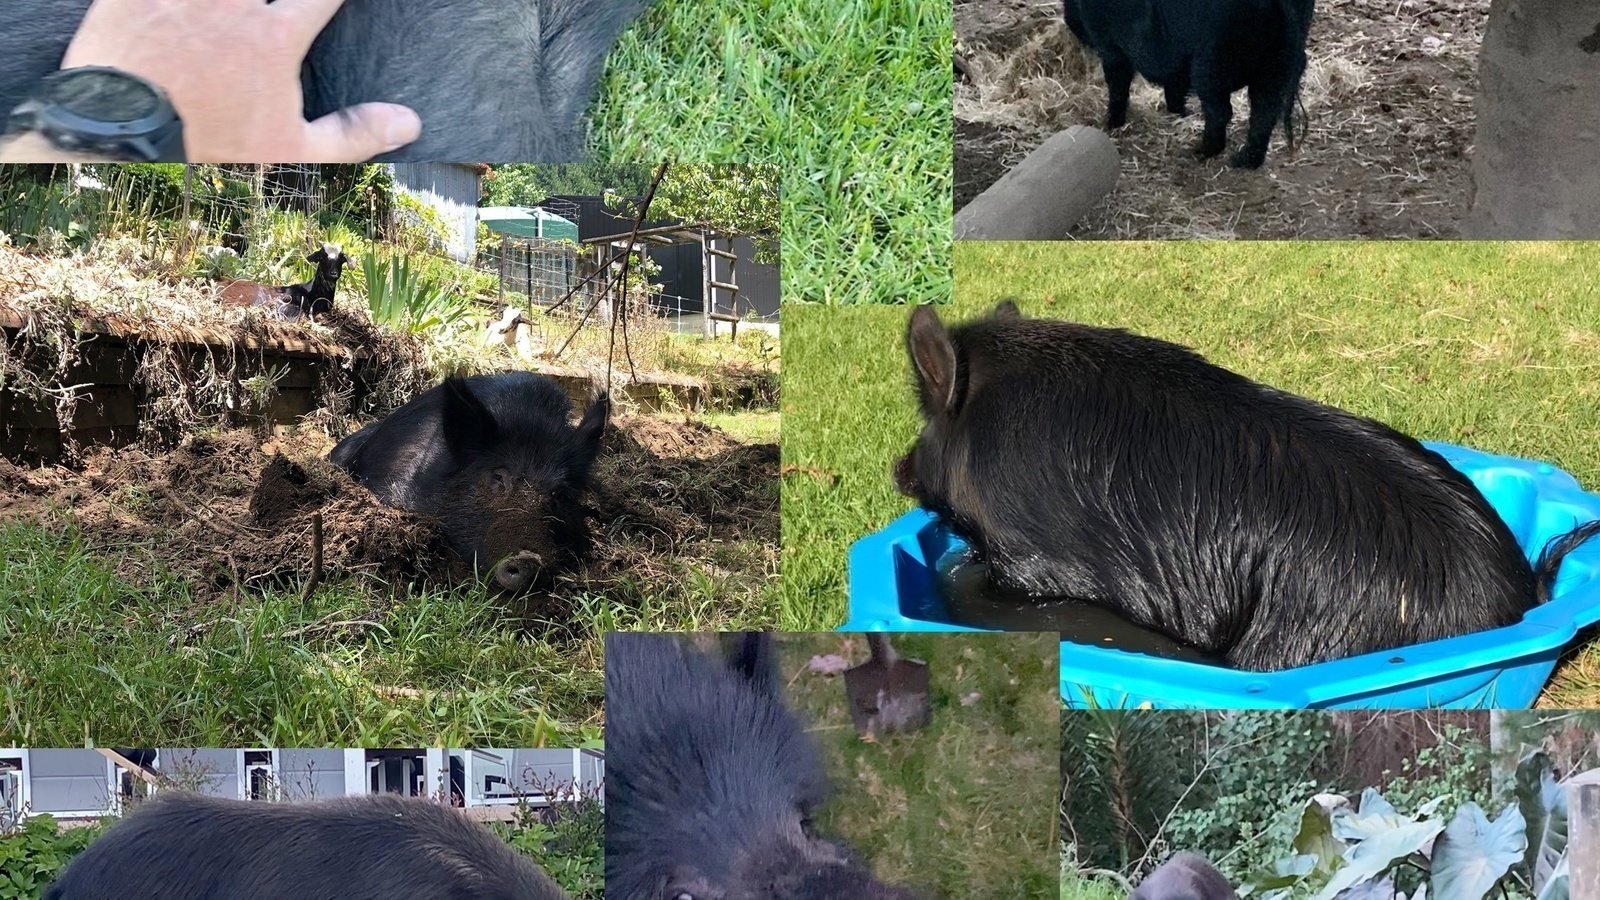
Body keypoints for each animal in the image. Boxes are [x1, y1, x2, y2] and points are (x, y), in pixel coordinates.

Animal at [1062, 0, 1316, 168]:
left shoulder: (1111, 45)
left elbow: (1117, 85)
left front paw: (1109, 125)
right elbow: (1174, 84)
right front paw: (1181, 113)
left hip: (1209, 65)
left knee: (1222, 112)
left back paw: (1198, 152)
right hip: (1278, 65)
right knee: (1264, 113)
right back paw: (1242, 161)